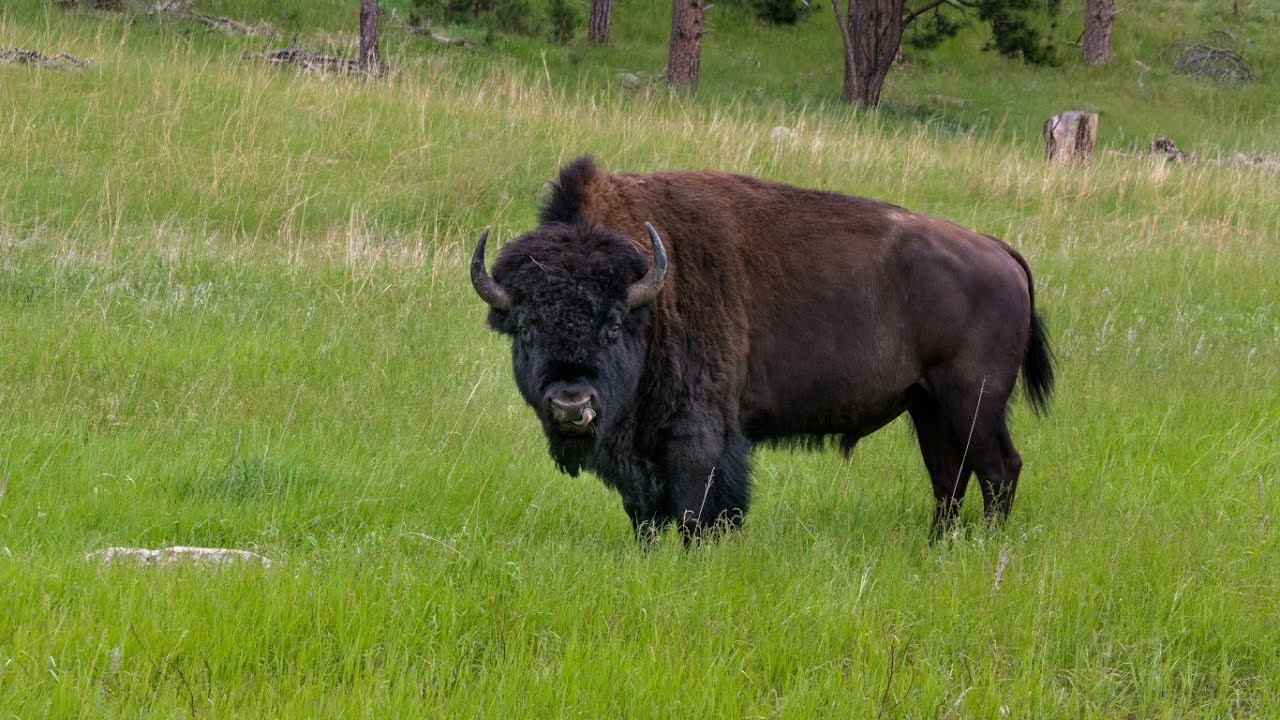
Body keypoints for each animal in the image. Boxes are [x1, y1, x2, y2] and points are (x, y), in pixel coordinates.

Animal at [471, 157, 1053, 540]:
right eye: (525, 327)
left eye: (613, 325)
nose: (570, 405)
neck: (651, 296)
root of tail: (998, 250)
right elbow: (645, 513)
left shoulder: (700, 434)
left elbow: (699, 507)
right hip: (927, 405)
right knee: (948, 476)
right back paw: (938, 546)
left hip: (974, 401)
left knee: (999, 470)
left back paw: (985, 547)